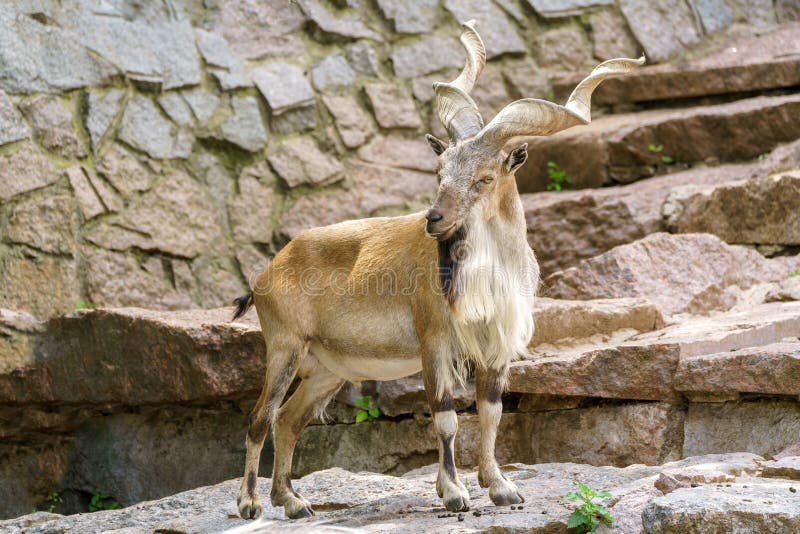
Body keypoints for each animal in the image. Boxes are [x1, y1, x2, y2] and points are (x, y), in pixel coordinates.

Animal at [233, 21, 643, 520]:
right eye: (439, 170)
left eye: (485, 176)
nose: (434, 219)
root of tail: (267, 273)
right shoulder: (435, 340)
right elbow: (446, 415)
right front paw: (453, 493)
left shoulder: (495, 345)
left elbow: (490, 411)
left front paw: (501, 487)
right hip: (284, 347)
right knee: (261, 417)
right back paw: (250, 503)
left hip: (327, 367)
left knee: (290, 420)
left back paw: (292, 502)